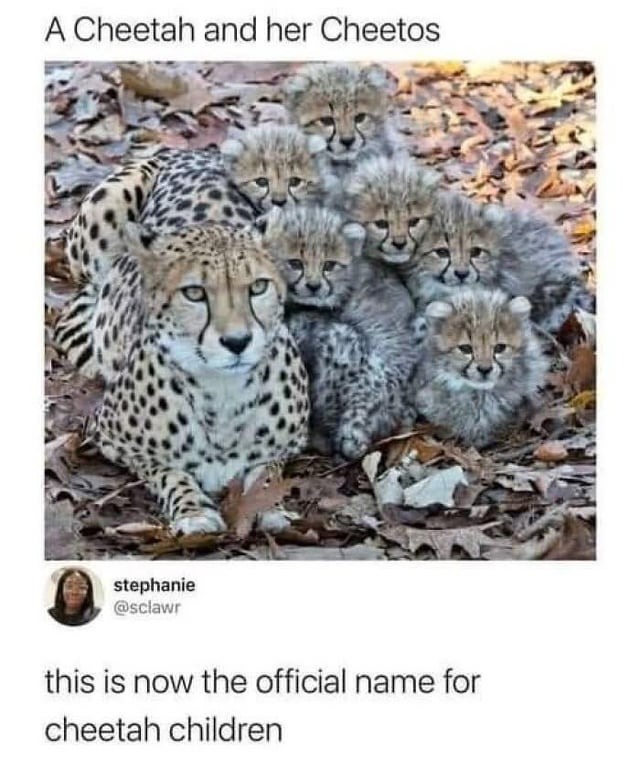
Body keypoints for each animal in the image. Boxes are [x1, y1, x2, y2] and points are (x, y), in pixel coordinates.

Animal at [87, 223, 309, 535]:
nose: (237, 341)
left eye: (258, 287)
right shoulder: (112, 438)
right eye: (194, 293)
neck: (223, 390)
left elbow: (266, 474)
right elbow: (170, 472)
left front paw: (268, 507)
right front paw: (195, 512)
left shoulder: (290, 444)